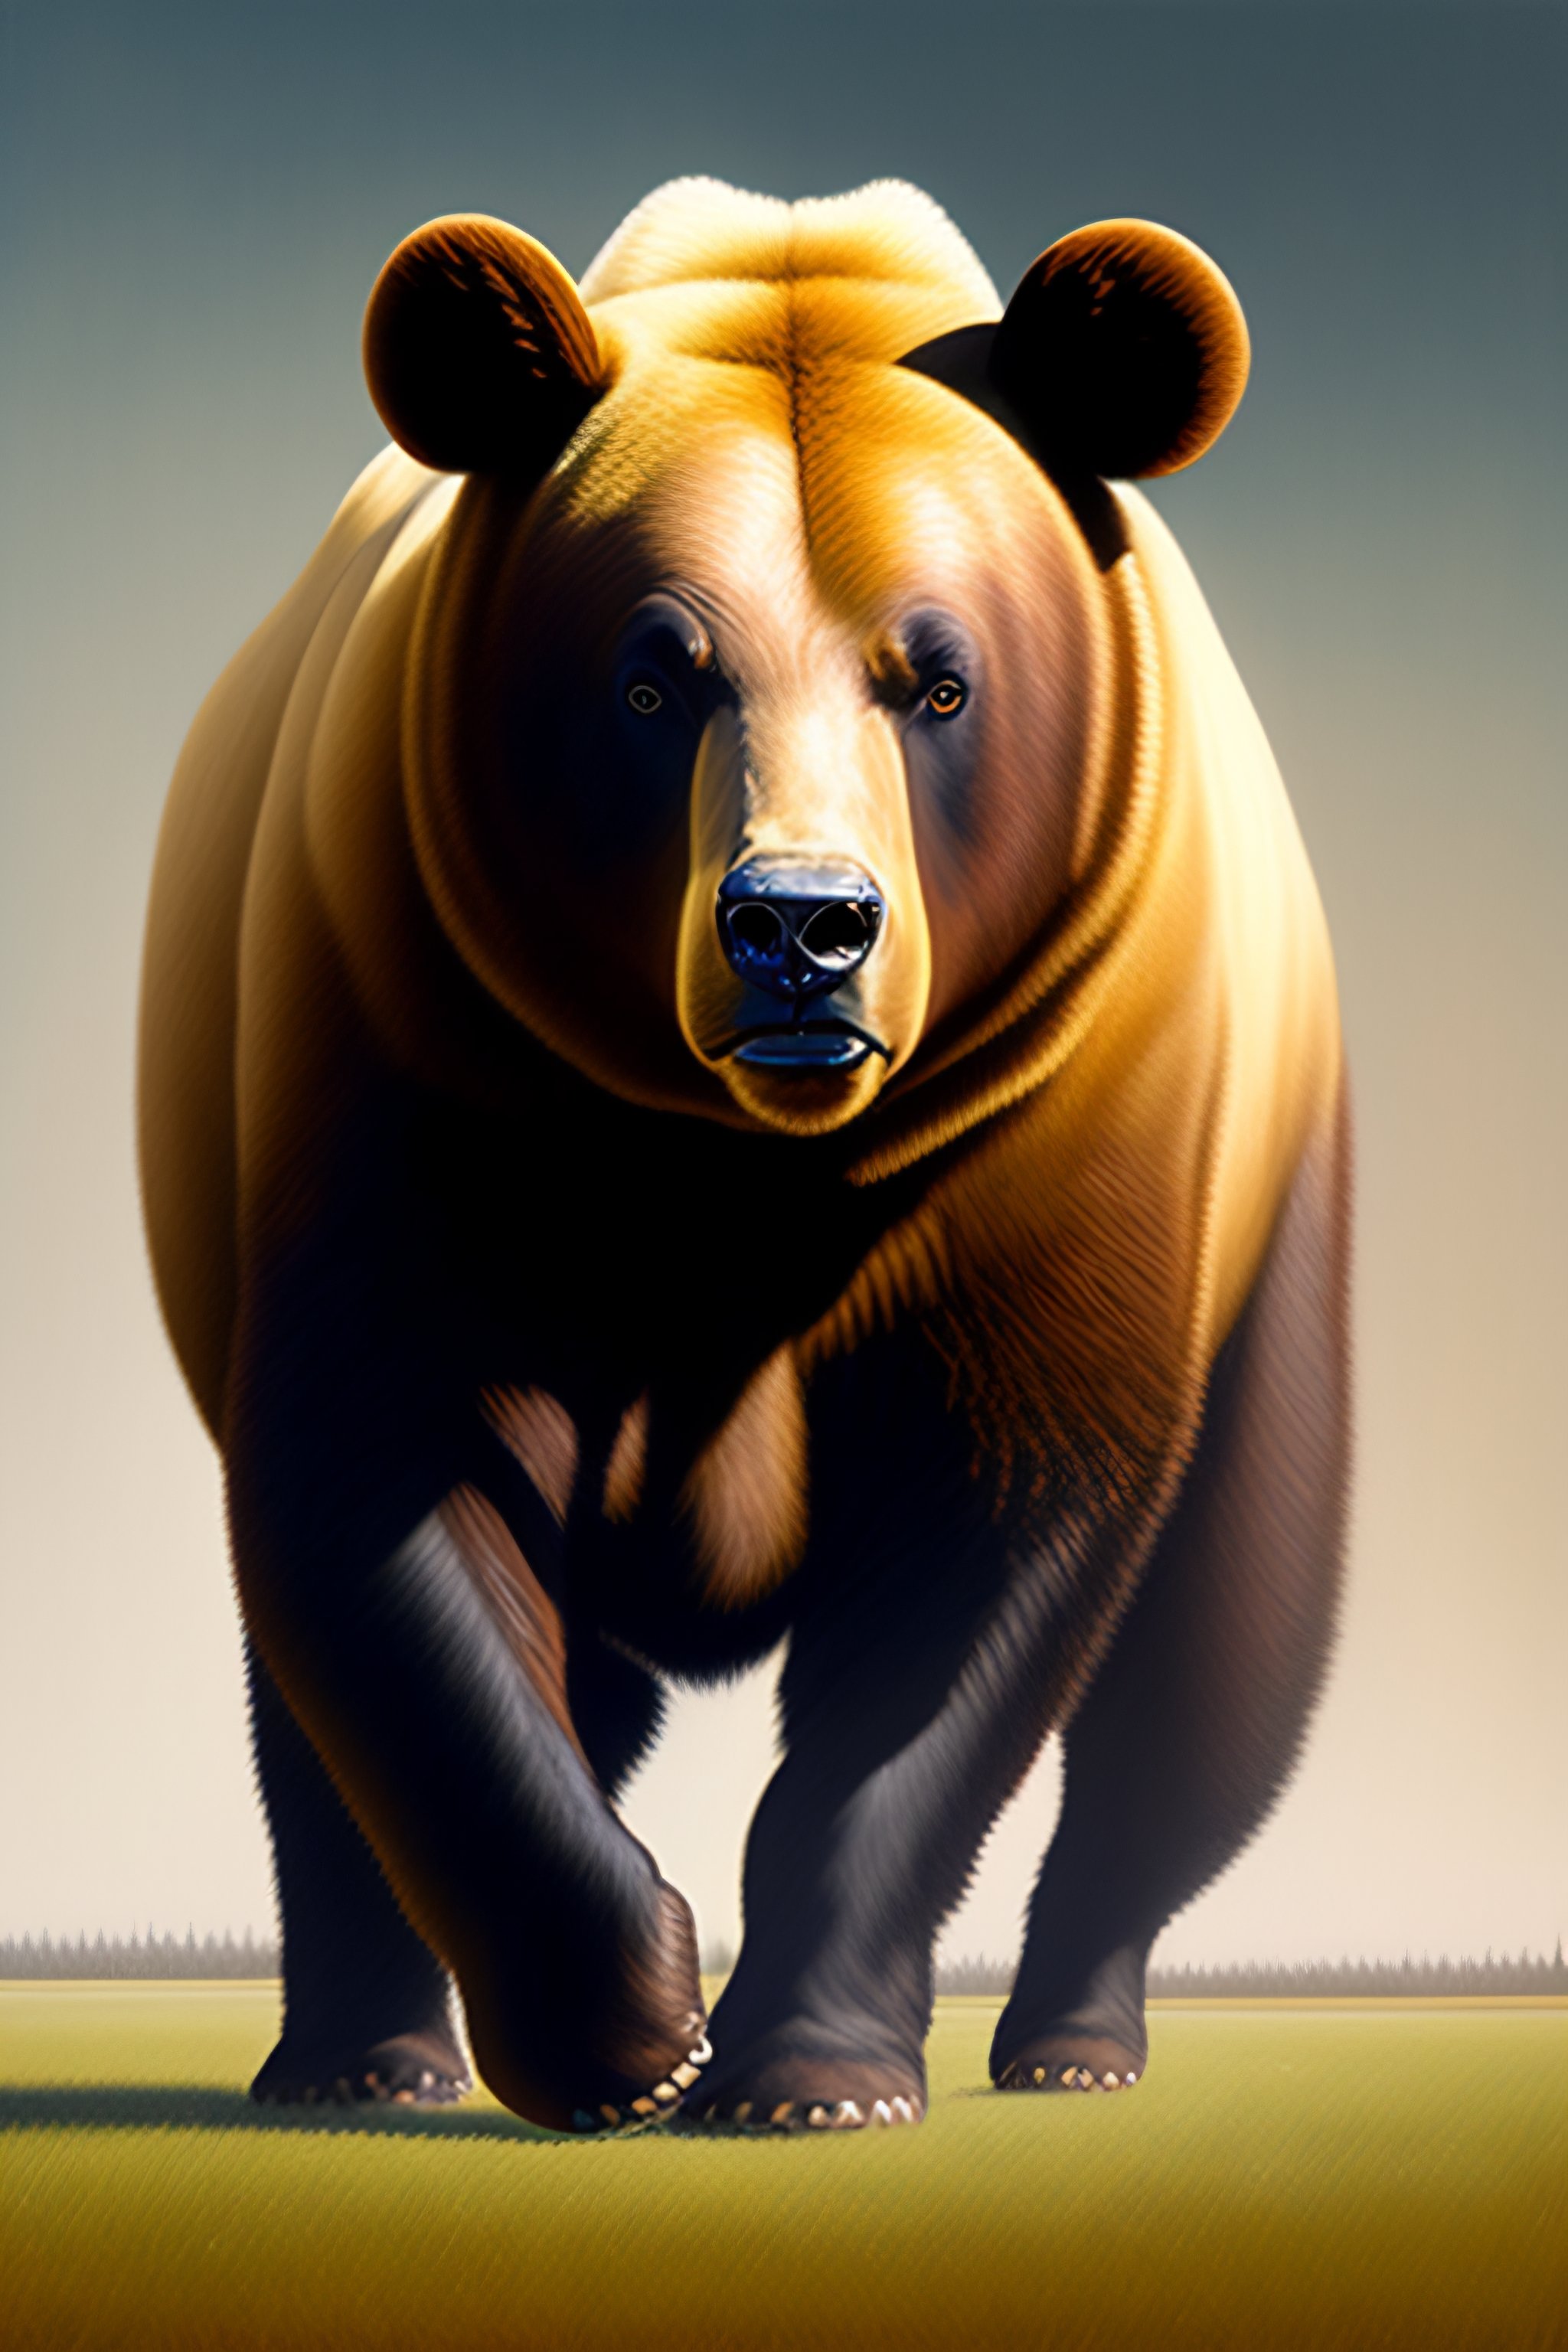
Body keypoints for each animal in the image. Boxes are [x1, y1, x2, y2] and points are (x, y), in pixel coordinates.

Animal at [137, 177, 1348, 2133]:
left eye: (937, 682)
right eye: (652, 677)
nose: (803, 928)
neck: (739, 1162)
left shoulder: (1054, 1147)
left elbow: (968, 1581)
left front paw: (809, 2067)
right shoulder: (410, 1068)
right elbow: (388, 1515)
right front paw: (632, 2029)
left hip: (1280, 1227)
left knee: (1220, 1656)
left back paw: (1075, 2037)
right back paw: (361, 2059)